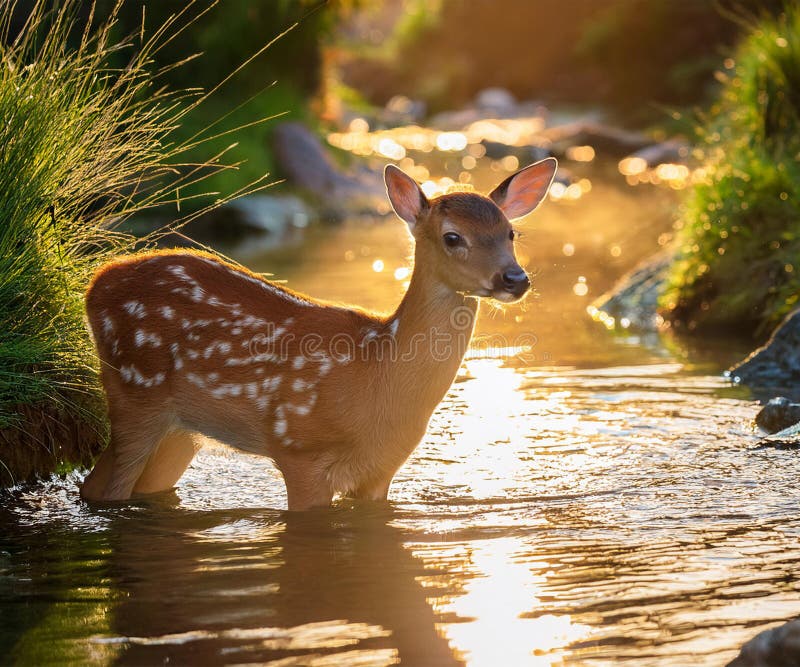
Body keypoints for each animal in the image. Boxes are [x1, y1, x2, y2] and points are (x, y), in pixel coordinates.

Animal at [79, 158, 557, 509]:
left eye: (511, 232)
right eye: (452, 237)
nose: (515, 279)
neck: (376, 374)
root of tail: (96, 283)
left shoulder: (383, 468)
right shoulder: (298, 448)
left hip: (181, 430)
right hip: (135, 392)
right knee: (105, 488)